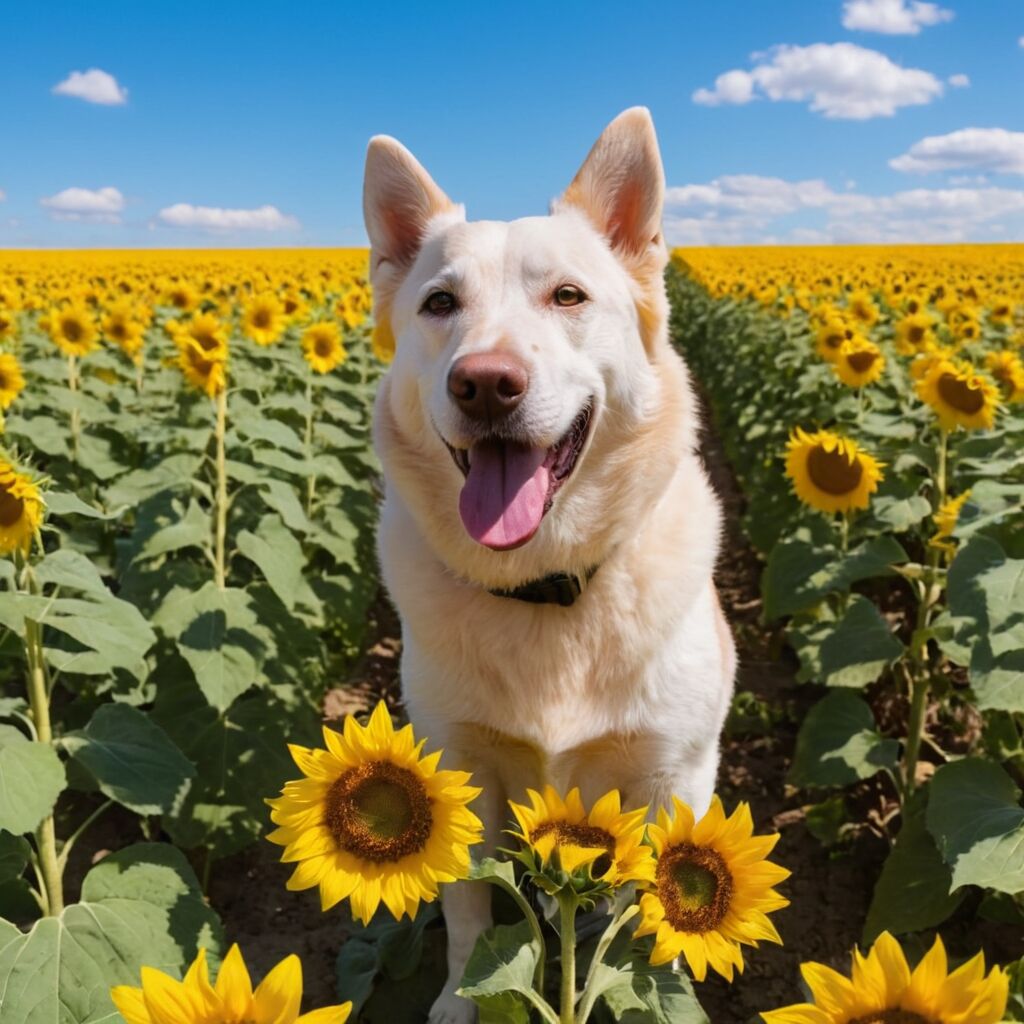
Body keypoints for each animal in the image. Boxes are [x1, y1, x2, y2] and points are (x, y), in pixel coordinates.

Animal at [364, 108, 733, 1019]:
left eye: (568, 296)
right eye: (440, 303)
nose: (485, 384)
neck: (545, 591)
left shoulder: (676, 774)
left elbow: (652, 918)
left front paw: (655, 989)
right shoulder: (456, 765)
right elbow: (468, 907)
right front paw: (462, 998)